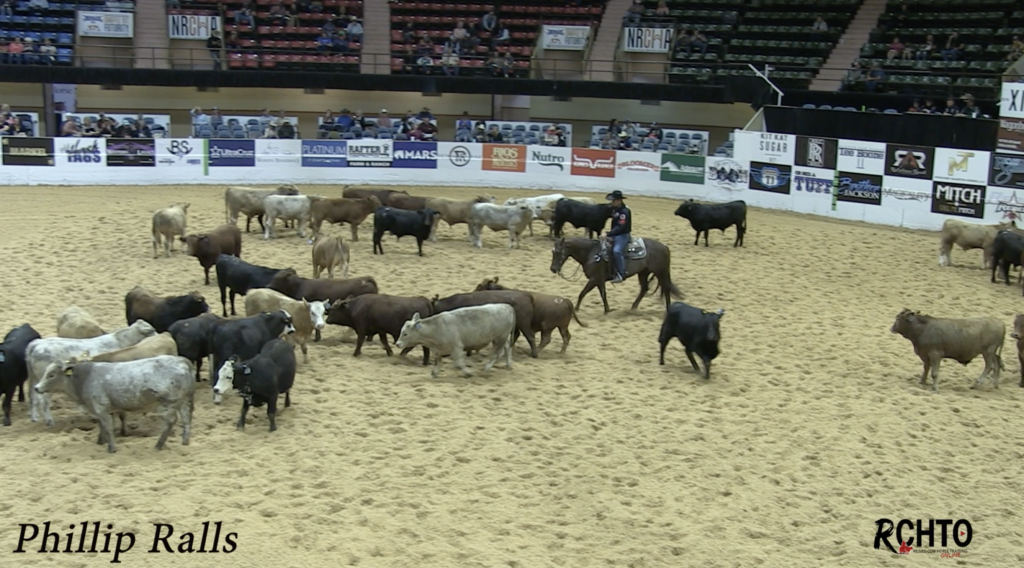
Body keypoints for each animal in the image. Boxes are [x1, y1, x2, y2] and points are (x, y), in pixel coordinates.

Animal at [25, 320, 158, 425]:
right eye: (151, 330)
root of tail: (36, 344)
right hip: (45, 380)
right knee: (44, 400)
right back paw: (49, 421)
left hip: (34, 378)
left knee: (33, 396)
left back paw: (34, 418)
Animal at [34, 355, 194, 453]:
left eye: (51, 375)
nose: (36, 388)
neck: (84, 378)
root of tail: (181, 361)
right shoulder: (104, 409)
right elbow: (102, 426)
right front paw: (100, 441)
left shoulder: (101, 407)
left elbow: (108, 427)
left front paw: (111, 448)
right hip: (183, 400)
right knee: (186, 418)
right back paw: (185, 442)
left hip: (169, 402)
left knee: (171, 421)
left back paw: (158, 445)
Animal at [550, 236, 683, 313]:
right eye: (552, 251)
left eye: (558, 252)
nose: (553, 269)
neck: (591, 253)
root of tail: (665, 247)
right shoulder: (599, 280)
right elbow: (602, 294)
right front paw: (607, 309)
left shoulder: (594, 279)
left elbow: (583, 293)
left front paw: (576, 309)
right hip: (643, 273)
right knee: (644, 288)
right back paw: (633, 307)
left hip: (661, 273)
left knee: (666, 289)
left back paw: (668, 310)